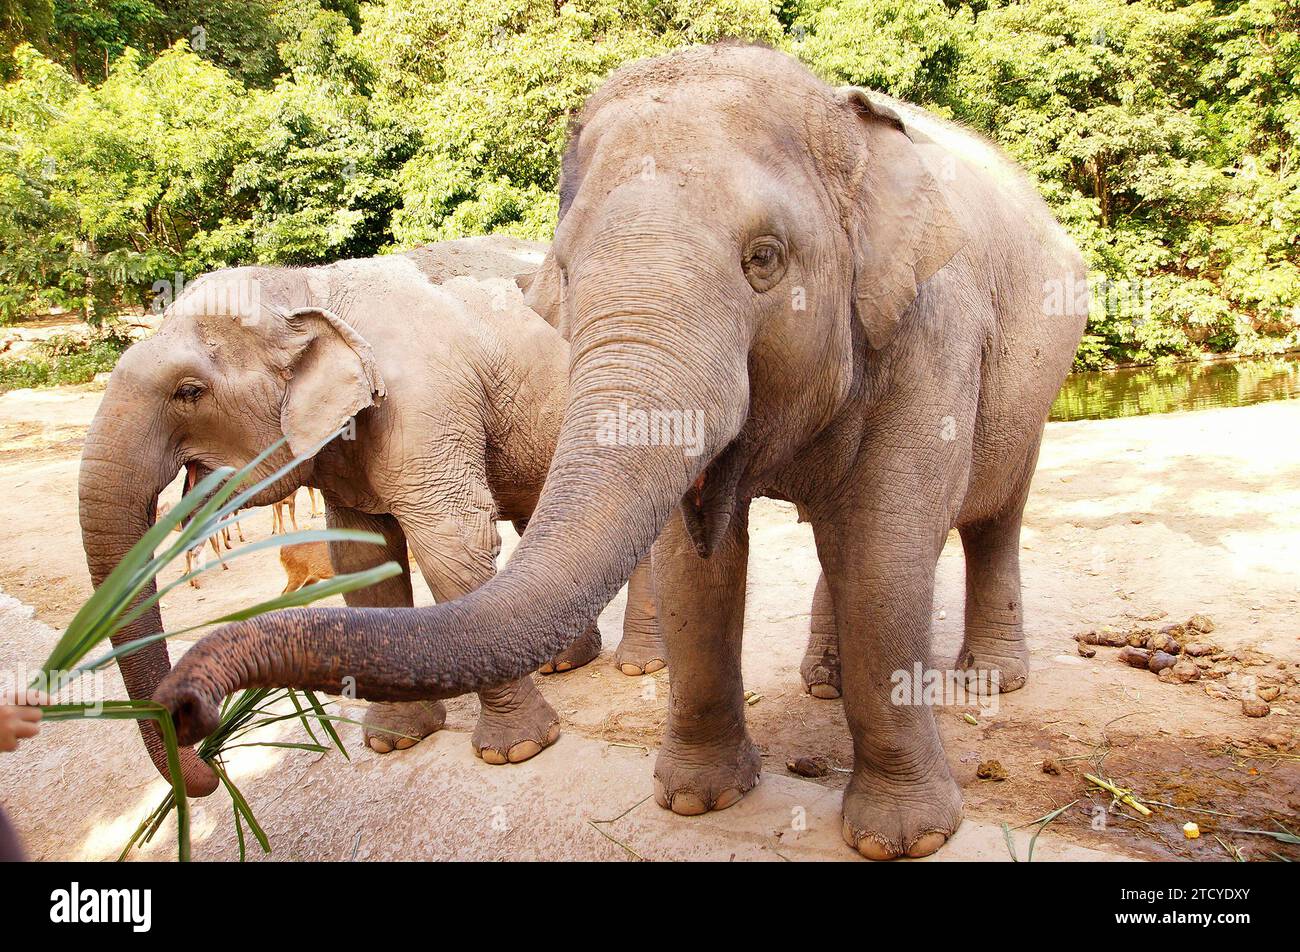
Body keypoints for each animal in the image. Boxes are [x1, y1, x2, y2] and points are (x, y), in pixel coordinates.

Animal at [78, 236, 663, 795]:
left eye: (189, 392)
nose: (209, 759)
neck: (304, 286)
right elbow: (361, 557)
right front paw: (394, 740)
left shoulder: (424, 405)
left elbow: (451, 544)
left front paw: (515, 750)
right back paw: (562, 662)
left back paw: (639, 664)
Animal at [153, 44, 1086, 859]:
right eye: (562, 274)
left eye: (765, 259)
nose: (184, 714)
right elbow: (694, 562)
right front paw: (697, 799)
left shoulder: (934, 328)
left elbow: (889, 551)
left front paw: (902, 839)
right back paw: (822, 681)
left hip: (1033, 383)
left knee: (989, 516)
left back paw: (988, 682)